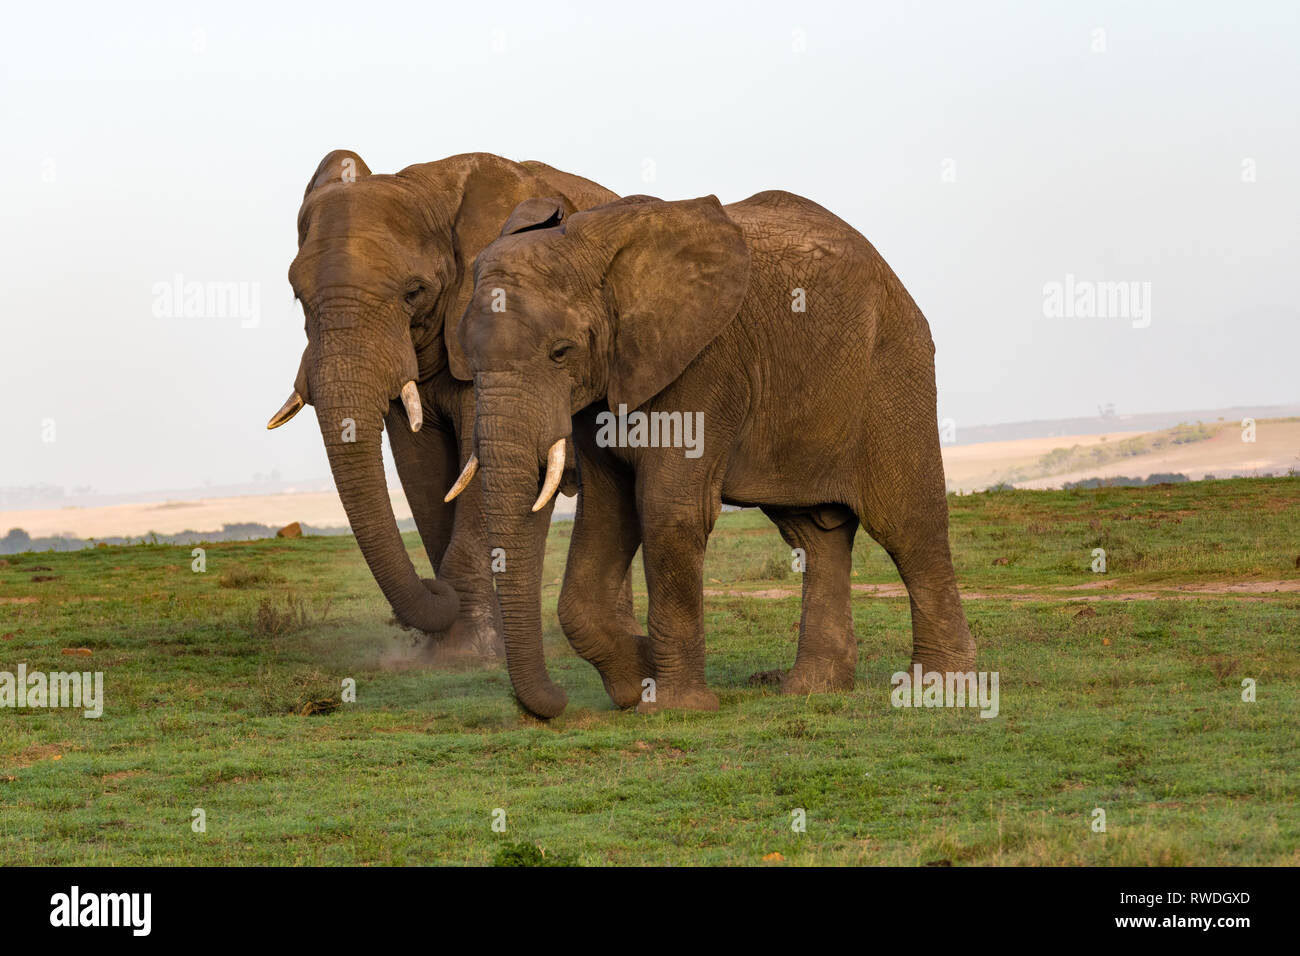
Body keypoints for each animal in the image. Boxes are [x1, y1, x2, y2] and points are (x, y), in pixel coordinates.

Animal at [267, 151, 617, 659]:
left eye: (414, 292)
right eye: (298, 296)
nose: (433, 589)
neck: (429, 186)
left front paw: (466, 651)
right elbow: (422, 468)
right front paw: (449, 647)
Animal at [450, 190, 976, 717]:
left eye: (561, 352)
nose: (557, 700)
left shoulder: (705, 364)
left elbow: (667, 510)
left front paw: (673, 706)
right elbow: (606, 512)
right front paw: (636, 681)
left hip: (892, 368)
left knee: (907, 524)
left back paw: (938, 687)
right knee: (814, 534)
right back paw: (811, 689)